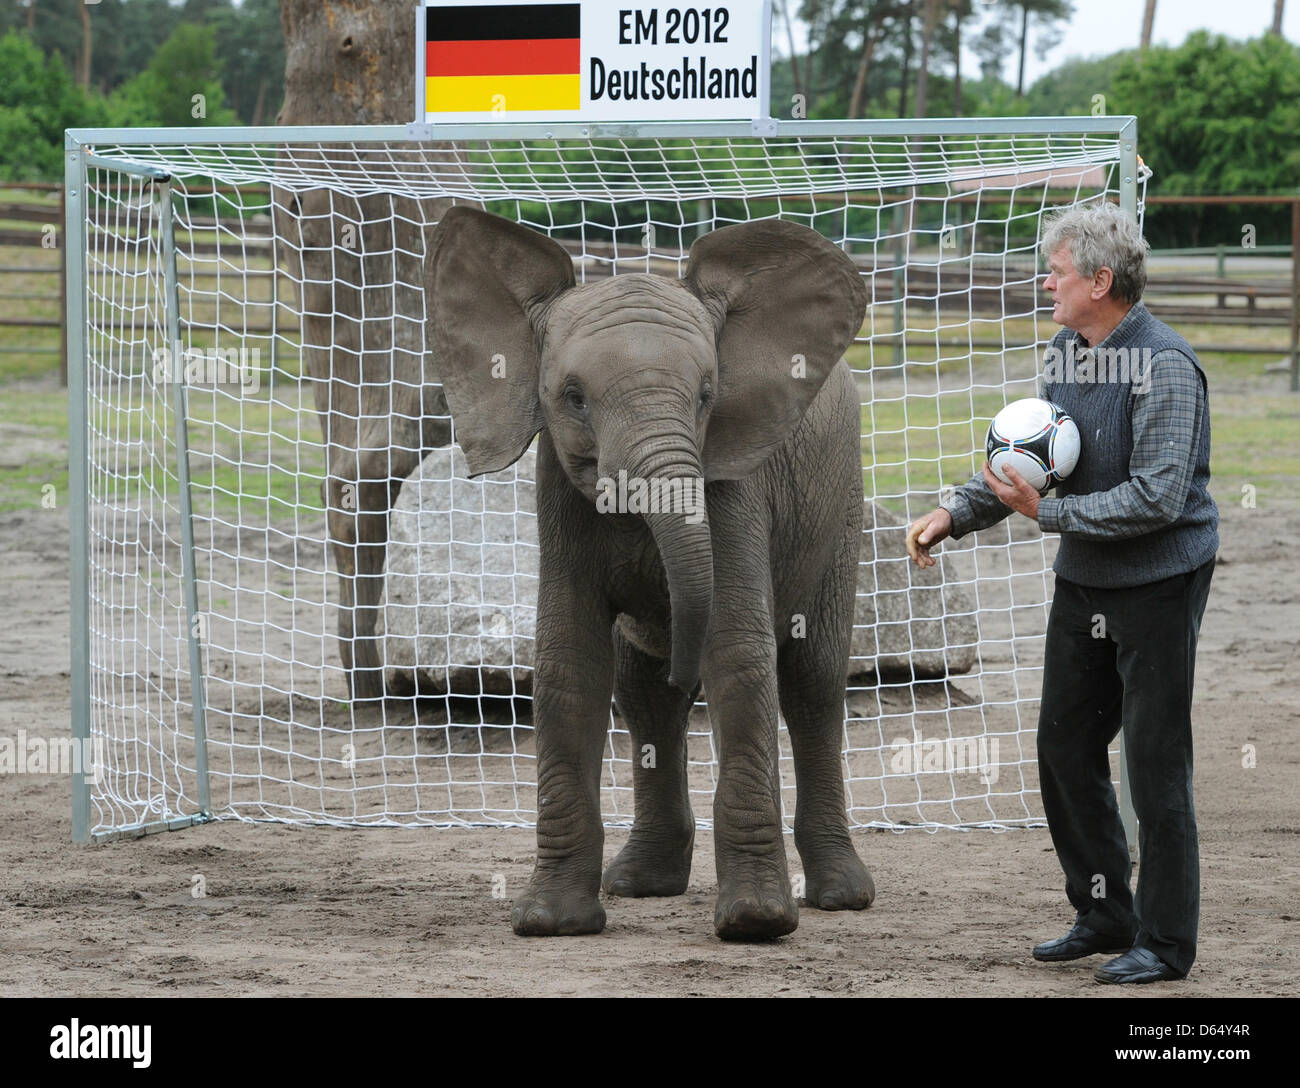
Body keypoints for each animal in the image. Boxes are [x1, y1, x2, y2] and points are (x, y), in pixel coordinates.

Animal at [426, 206, 874, 940]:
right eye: (573, 398)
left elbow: (739, 654)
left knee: (812, 683)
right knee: (643, 695)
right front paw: (552, 923)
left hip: (841, 507)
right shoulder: (560, 494)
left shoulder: (734, 482)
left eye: (707, 396)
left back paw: (840, 896)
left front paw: (754, 923)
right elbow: (569, 664)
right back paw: (642, 883)